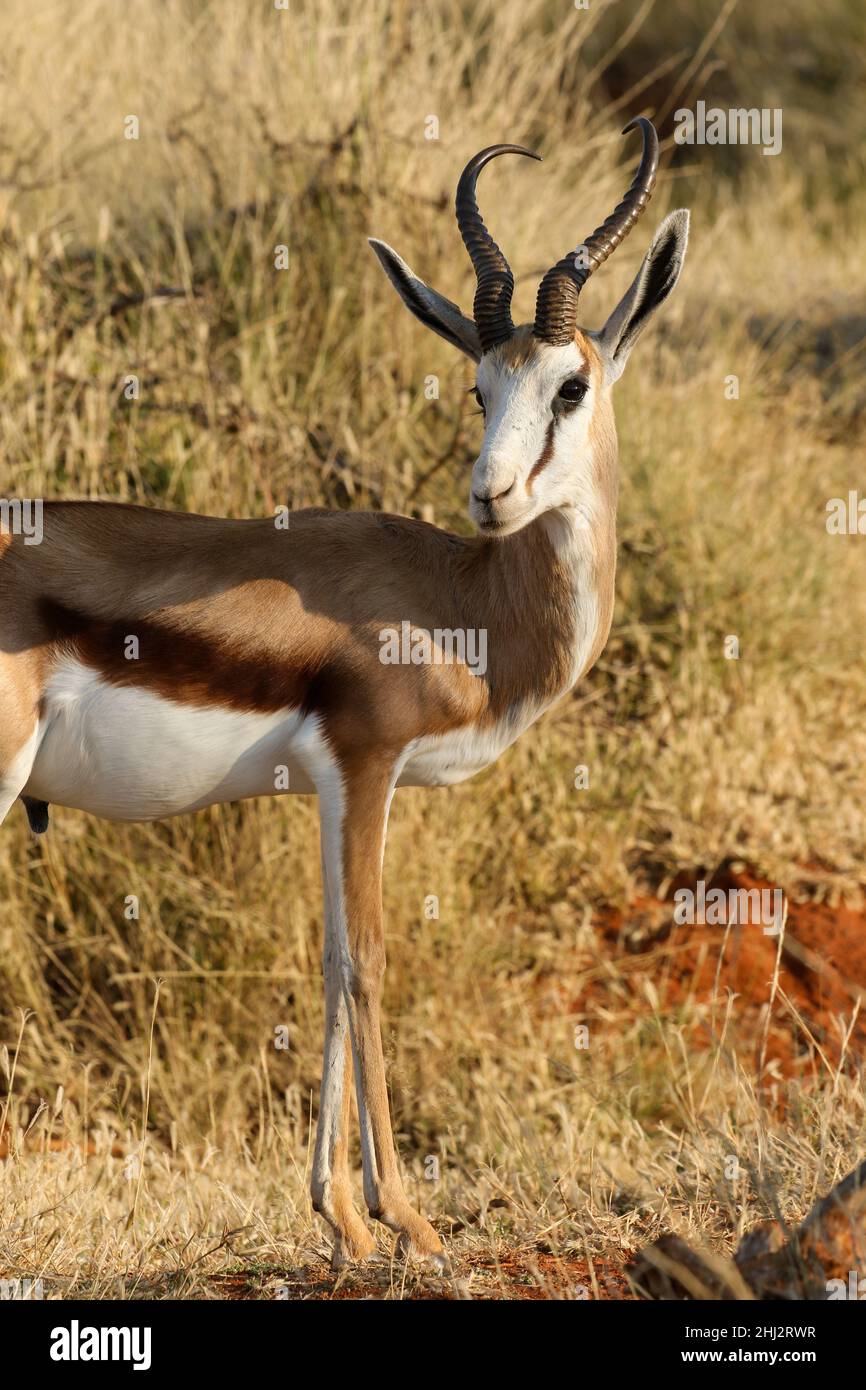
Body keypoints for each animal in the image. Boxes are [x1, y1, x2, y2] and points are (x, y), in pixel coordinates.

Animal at [0, 117, 688, 1269]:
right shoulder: (365, 767)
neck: (462, 598)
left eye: (570, 386)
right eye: (479, 389)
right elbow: (367, 962)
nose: (489, 494)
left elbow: (324, 969)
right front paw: (405, 1217)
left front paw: (342, 1222)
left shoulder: (328, 791)